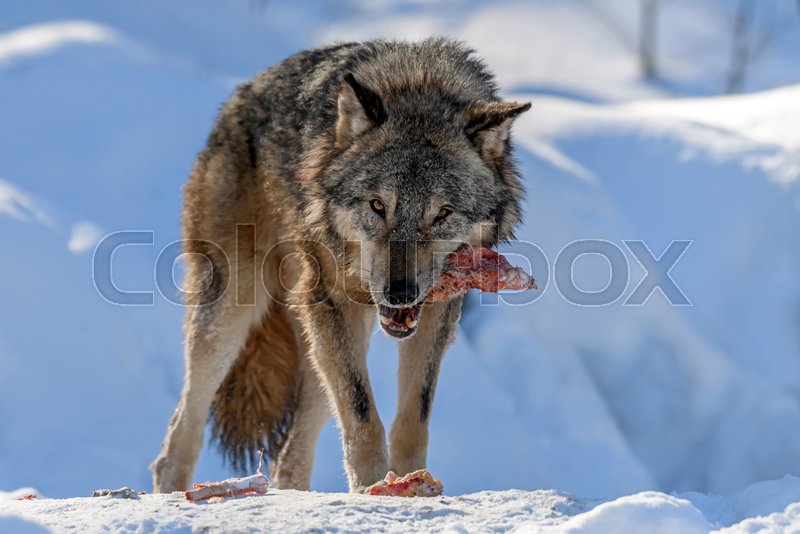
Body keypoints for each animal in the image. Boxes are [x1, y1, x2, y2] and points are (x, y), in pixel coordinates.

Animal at [151, 37, 530, 494]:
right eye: (378, 206)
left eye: (442, 214)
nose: (399, 292)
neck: (422, 85)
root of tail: (238, 98)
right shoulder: (330, 299)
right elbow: (363, 413)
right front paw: (372, 489)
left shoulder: (438, 310)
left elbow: (413, 417)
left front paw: (411, 484)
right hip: (234, 312)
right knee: (181, 431)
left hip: (323, 345)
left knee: (288, 457)